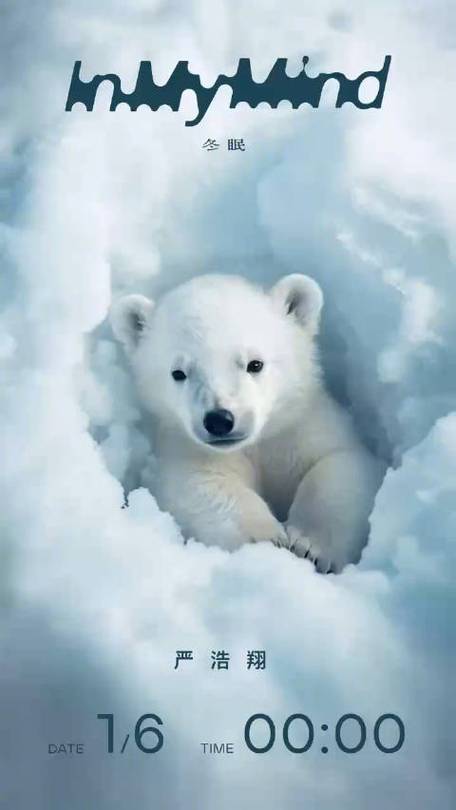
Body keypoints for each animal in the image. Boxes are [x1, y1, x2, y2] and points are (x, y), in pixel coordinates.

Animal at [111, 273, 385, 572]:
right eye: (178, 372)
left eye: (255, 363)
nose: (220, 420)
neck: (259, 442)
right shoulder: (185, 448)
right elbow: (202, 485)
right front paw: (268, 541)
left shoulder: (301, 426)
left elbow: (340, 464)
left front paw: (311, 547)